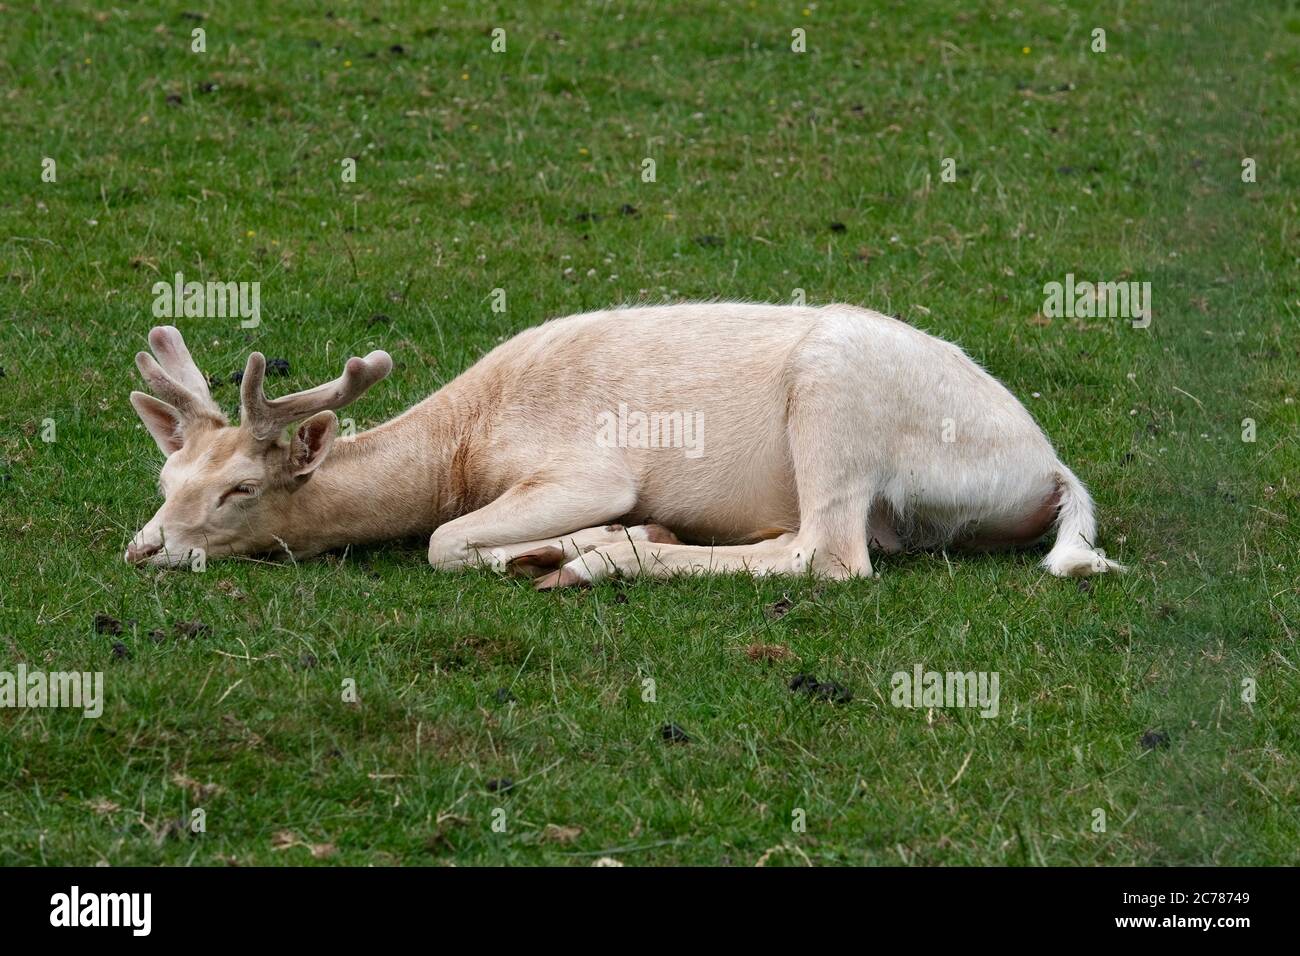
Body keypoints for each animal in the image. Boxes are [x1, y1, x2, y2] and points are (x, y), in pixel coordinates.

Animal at [124, 303, 1124, 587]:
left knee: (831, 557)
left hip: (837, 402)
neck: (464, 447)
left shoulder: (586, 469)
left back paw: (590, 561)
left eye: (240, 490)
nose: (146, 545)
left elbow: (444, 542)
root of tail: (1052, 469)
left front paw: (575, 544)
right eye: (168, 475)